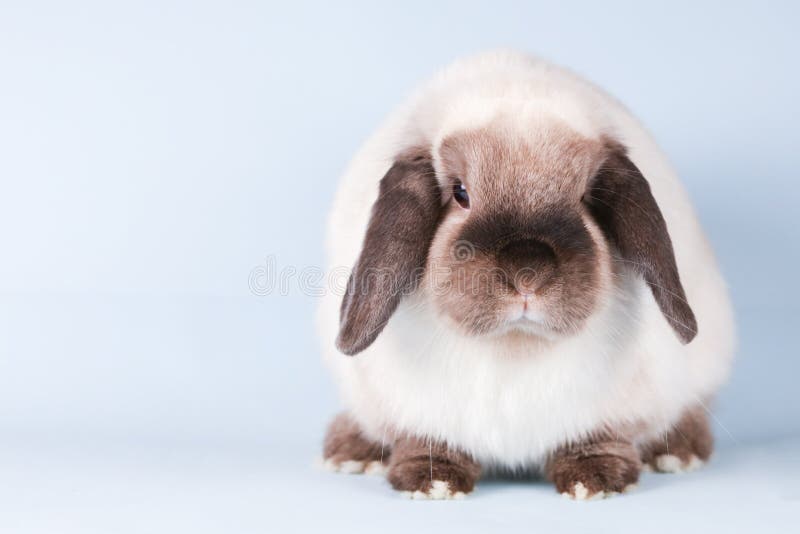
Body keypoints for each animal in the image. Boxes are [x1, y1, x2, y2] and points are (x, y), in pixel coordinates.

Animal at [317, 50, 735, 500]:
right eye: (460, 193)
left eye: (585, 197)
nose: (527, 273)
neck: (514, 347)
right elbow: (424, 442)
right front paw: (431, 481)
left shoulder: (611, 413)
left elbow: (601, 439)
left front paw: (595, 479)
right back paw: (349, 452)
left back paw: (680, 452)